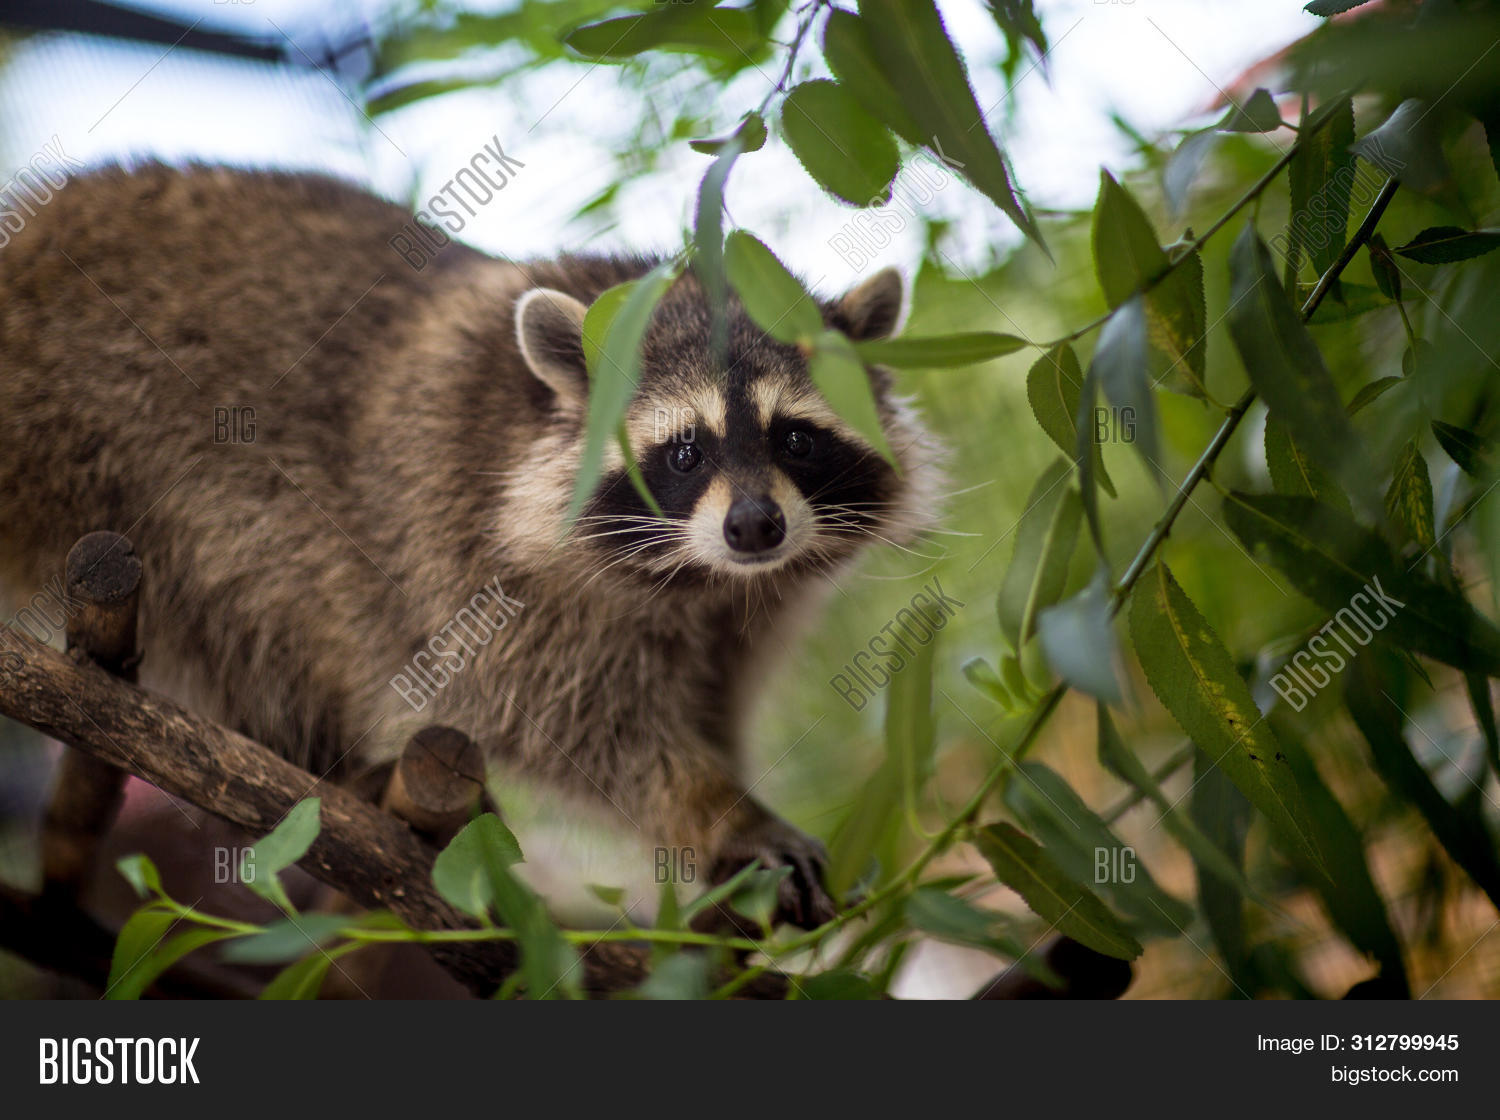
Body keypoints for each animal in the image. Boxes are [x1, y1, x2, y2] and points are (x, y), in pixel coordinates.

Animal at [0, 164, 940, 928]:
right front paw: (716, 805)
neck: (694, 577)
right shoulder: (466, 542)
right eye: (686, 452)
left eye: (796, 440)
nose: (754, 526)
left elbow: (715, 695)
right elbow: (569, 720)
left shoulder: (752, 608)